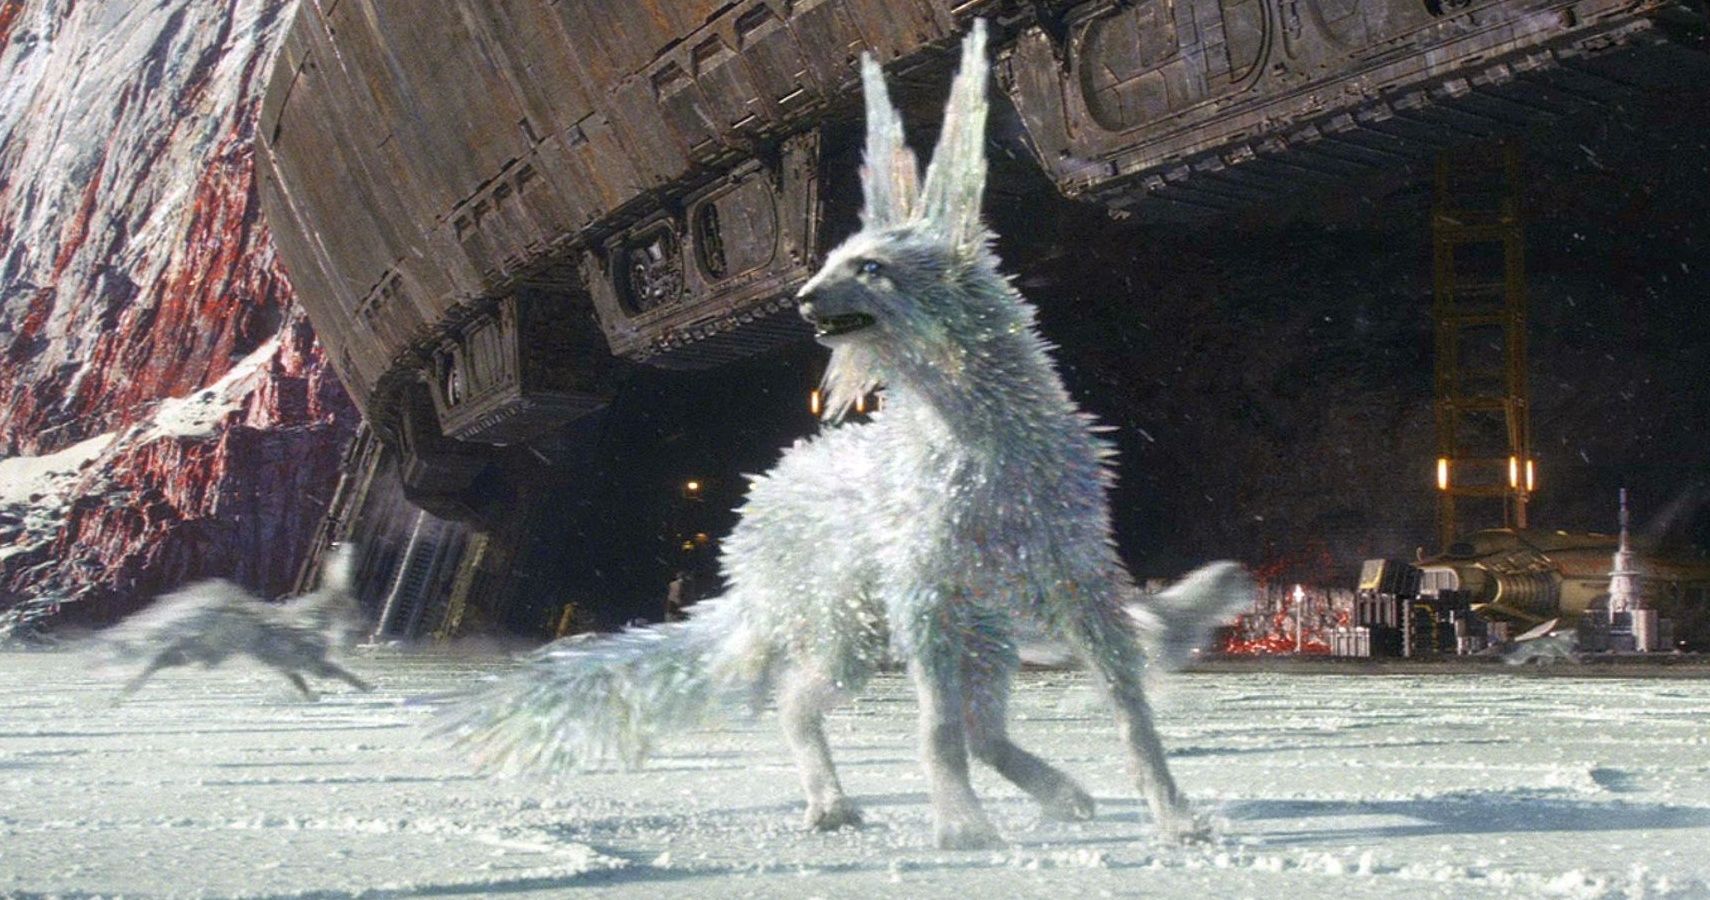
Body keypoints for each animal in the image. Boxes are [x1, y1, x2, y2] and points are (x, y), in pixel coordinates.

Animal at [105, 544, 371, 701]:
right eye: (353, 611)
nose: (365, 631)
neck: (316, 620)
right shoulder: (310, 660)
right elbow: (333, 671)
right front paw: (365, 686)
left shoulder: (291, 663)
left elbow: (300, 679)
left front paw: (312, 696)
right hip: (208, 650)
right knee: (165, 655)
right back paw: (126, 691)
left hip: (207, 650)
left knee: (167, 654)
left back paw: (125, 691)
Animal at [438, 20, 1252, 849]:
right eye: (828, 259)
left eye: (871, 267)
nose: (800, 298)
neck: (981, 441)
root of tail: (758, 511)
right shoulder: (924, 601)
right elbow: (936, 730)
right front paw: (958, 824)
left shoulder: (1077, 586)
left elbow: (1130, 712)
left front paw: (1175, 816)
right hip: (851, 631)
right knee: (806, 705)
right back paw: (836, 805)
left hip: (977, 634)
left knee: (983, 729)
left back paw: (1061, 795)